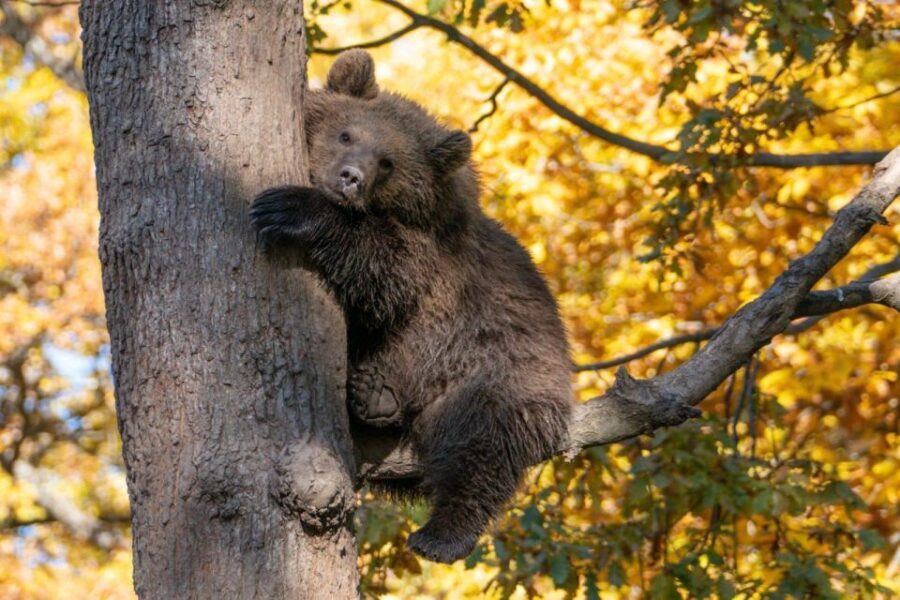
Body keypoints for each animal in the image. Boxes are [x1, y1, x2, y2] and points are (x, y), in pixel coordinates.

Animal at [250, 49, 574, 563]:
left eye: (388, 162)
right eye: (347, 134)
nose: (350, 177)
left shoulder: (430, 260)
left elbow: (385, 271)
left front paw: (291, 208)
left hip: (499, 369)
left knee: (482, 446)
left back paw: (441, 532)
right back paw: (370, 397)